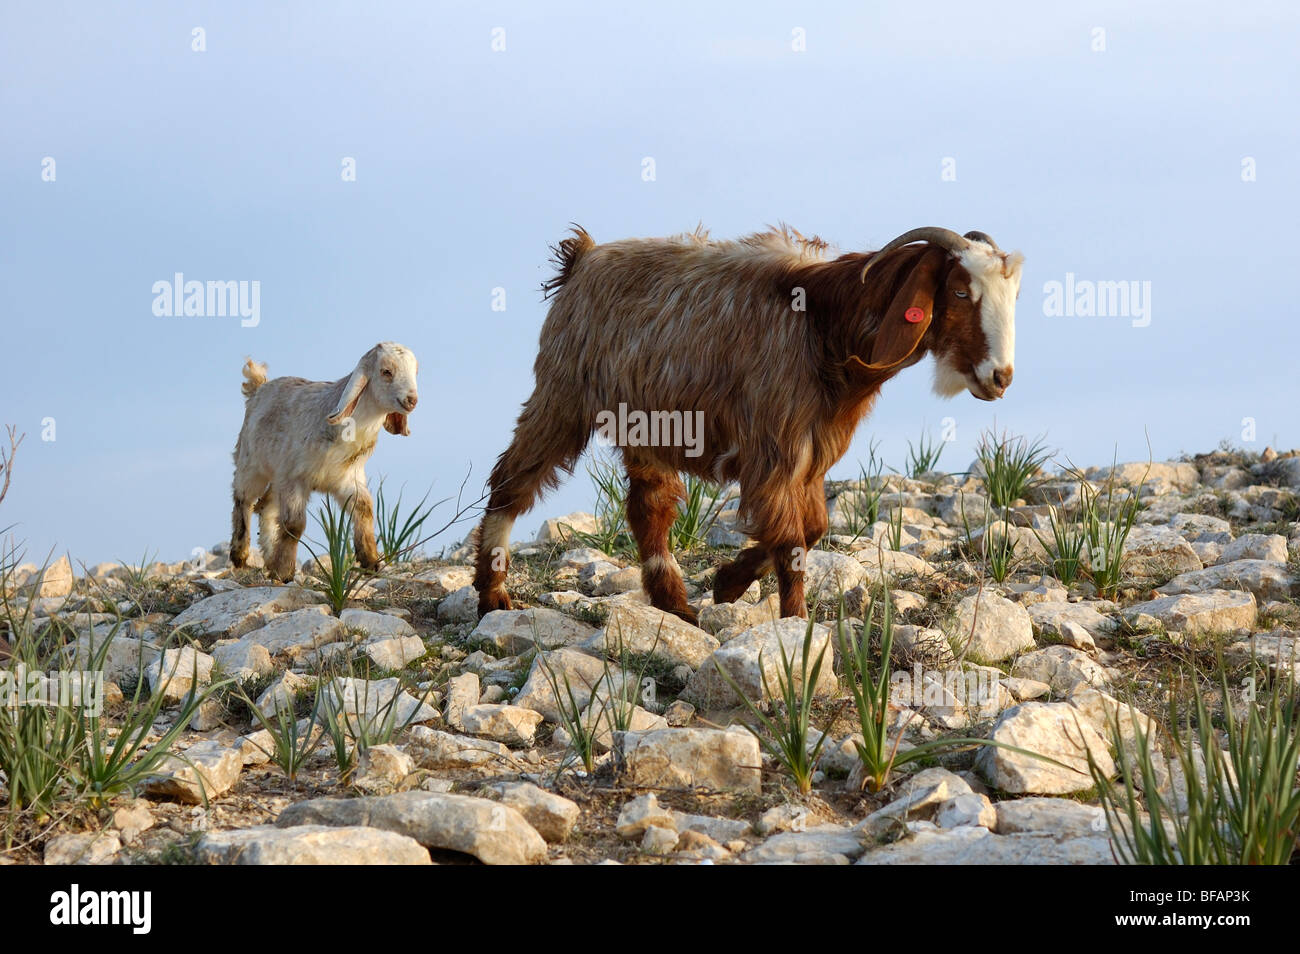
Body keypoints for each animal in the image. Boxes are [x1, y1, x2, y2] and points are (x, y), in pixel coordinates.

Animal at [231, 342, 419, 581]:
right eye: (386, 371)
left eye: (415, 372)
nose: (412, 400)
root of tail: (258, 387)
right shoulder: (294, 478)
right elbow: (294, 524)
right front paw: (283, 572)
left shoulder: (348, 477)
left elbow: (364, 508)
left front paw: (371, 562)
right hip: (251, 464)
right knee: (243, 500)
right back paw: (239, 555)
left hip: (276, 478)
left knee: (266, 507)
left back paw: (269, 557)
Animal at [472, 226, 1023, 622]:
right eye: (959, 291)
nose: (1001, 377)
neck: (823, 323)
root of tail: (582, 257)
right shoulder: (774, 446)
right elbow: (793, 541)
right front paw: (796, 625)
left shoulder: (811, 454)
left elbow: (812, 529)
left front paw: (728, 582)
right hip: (562, 398)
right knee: (513, 480)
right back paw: (492, 594)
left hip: (646, 427)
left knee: (649, 509)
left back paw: (676, 603)